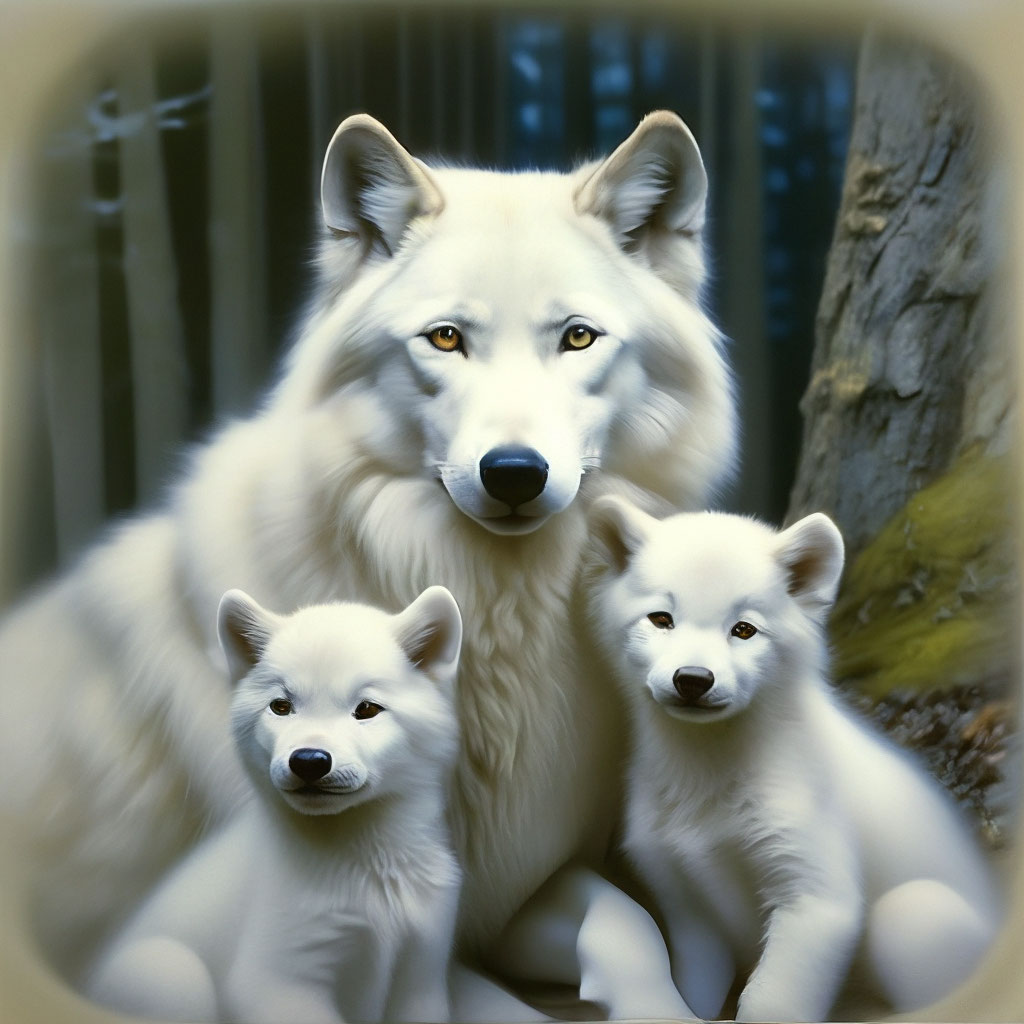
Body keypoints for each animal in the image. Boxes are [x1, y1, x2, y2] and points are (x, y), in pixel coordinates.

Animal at [87, 585, 462, 1024]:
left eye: (367, 709)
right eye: (281, 706)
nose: (309, 760)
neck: (369, 871)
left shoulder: (422, 967)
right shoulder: (277, 981)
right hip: (171, 971)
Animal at [586, 496, 1001, 1021]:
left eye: (743, 629)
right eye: (661, 619)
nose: (693, 679)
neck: (708, 775)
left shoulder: (815, 893)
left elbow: (771, 1001)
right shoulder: (683, 898)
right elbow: (695, 990)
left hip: (911, 913)